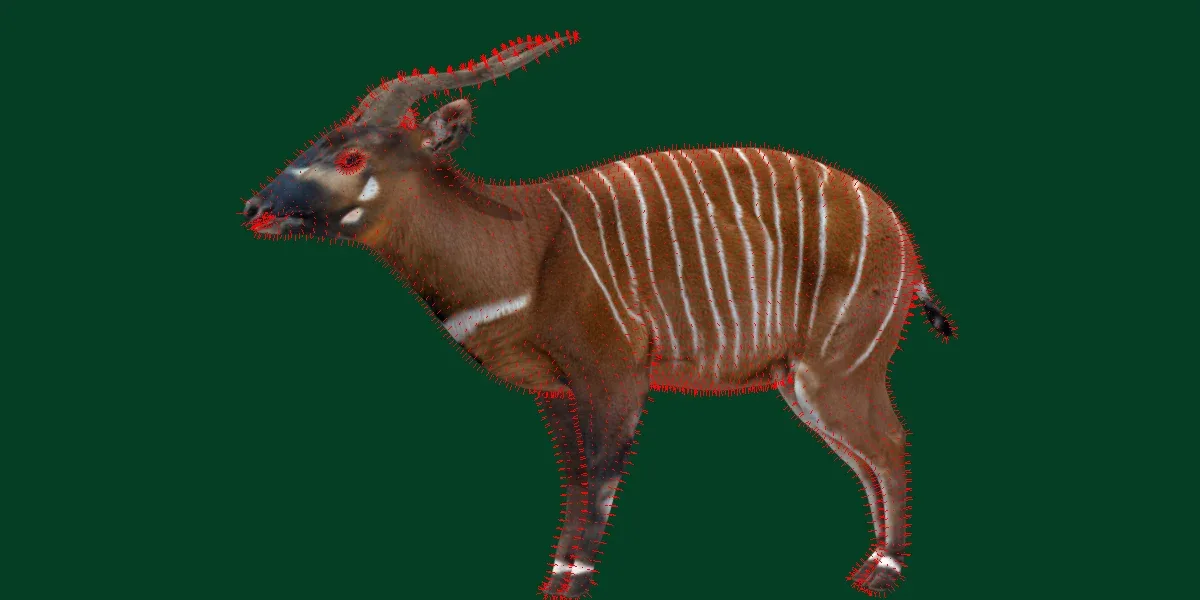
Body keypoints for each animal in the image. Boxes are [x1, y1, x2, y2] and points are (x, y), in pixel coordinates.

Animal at [240, 31, 955, 598]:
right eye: (324, 140)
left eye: (353, 156)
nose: (255, 207)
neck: (524, 248)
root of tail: (905, 246)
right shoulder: (557, 389)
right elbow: (573, 475)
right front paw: (555, 574)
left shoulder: (614, 374)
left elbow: (605, 472)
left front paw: (574, 580)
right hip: (803, 383)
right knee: (865, 456)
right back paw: (867, 565)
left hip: (838, 368)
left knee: (889, 443)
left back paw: (885, 571)